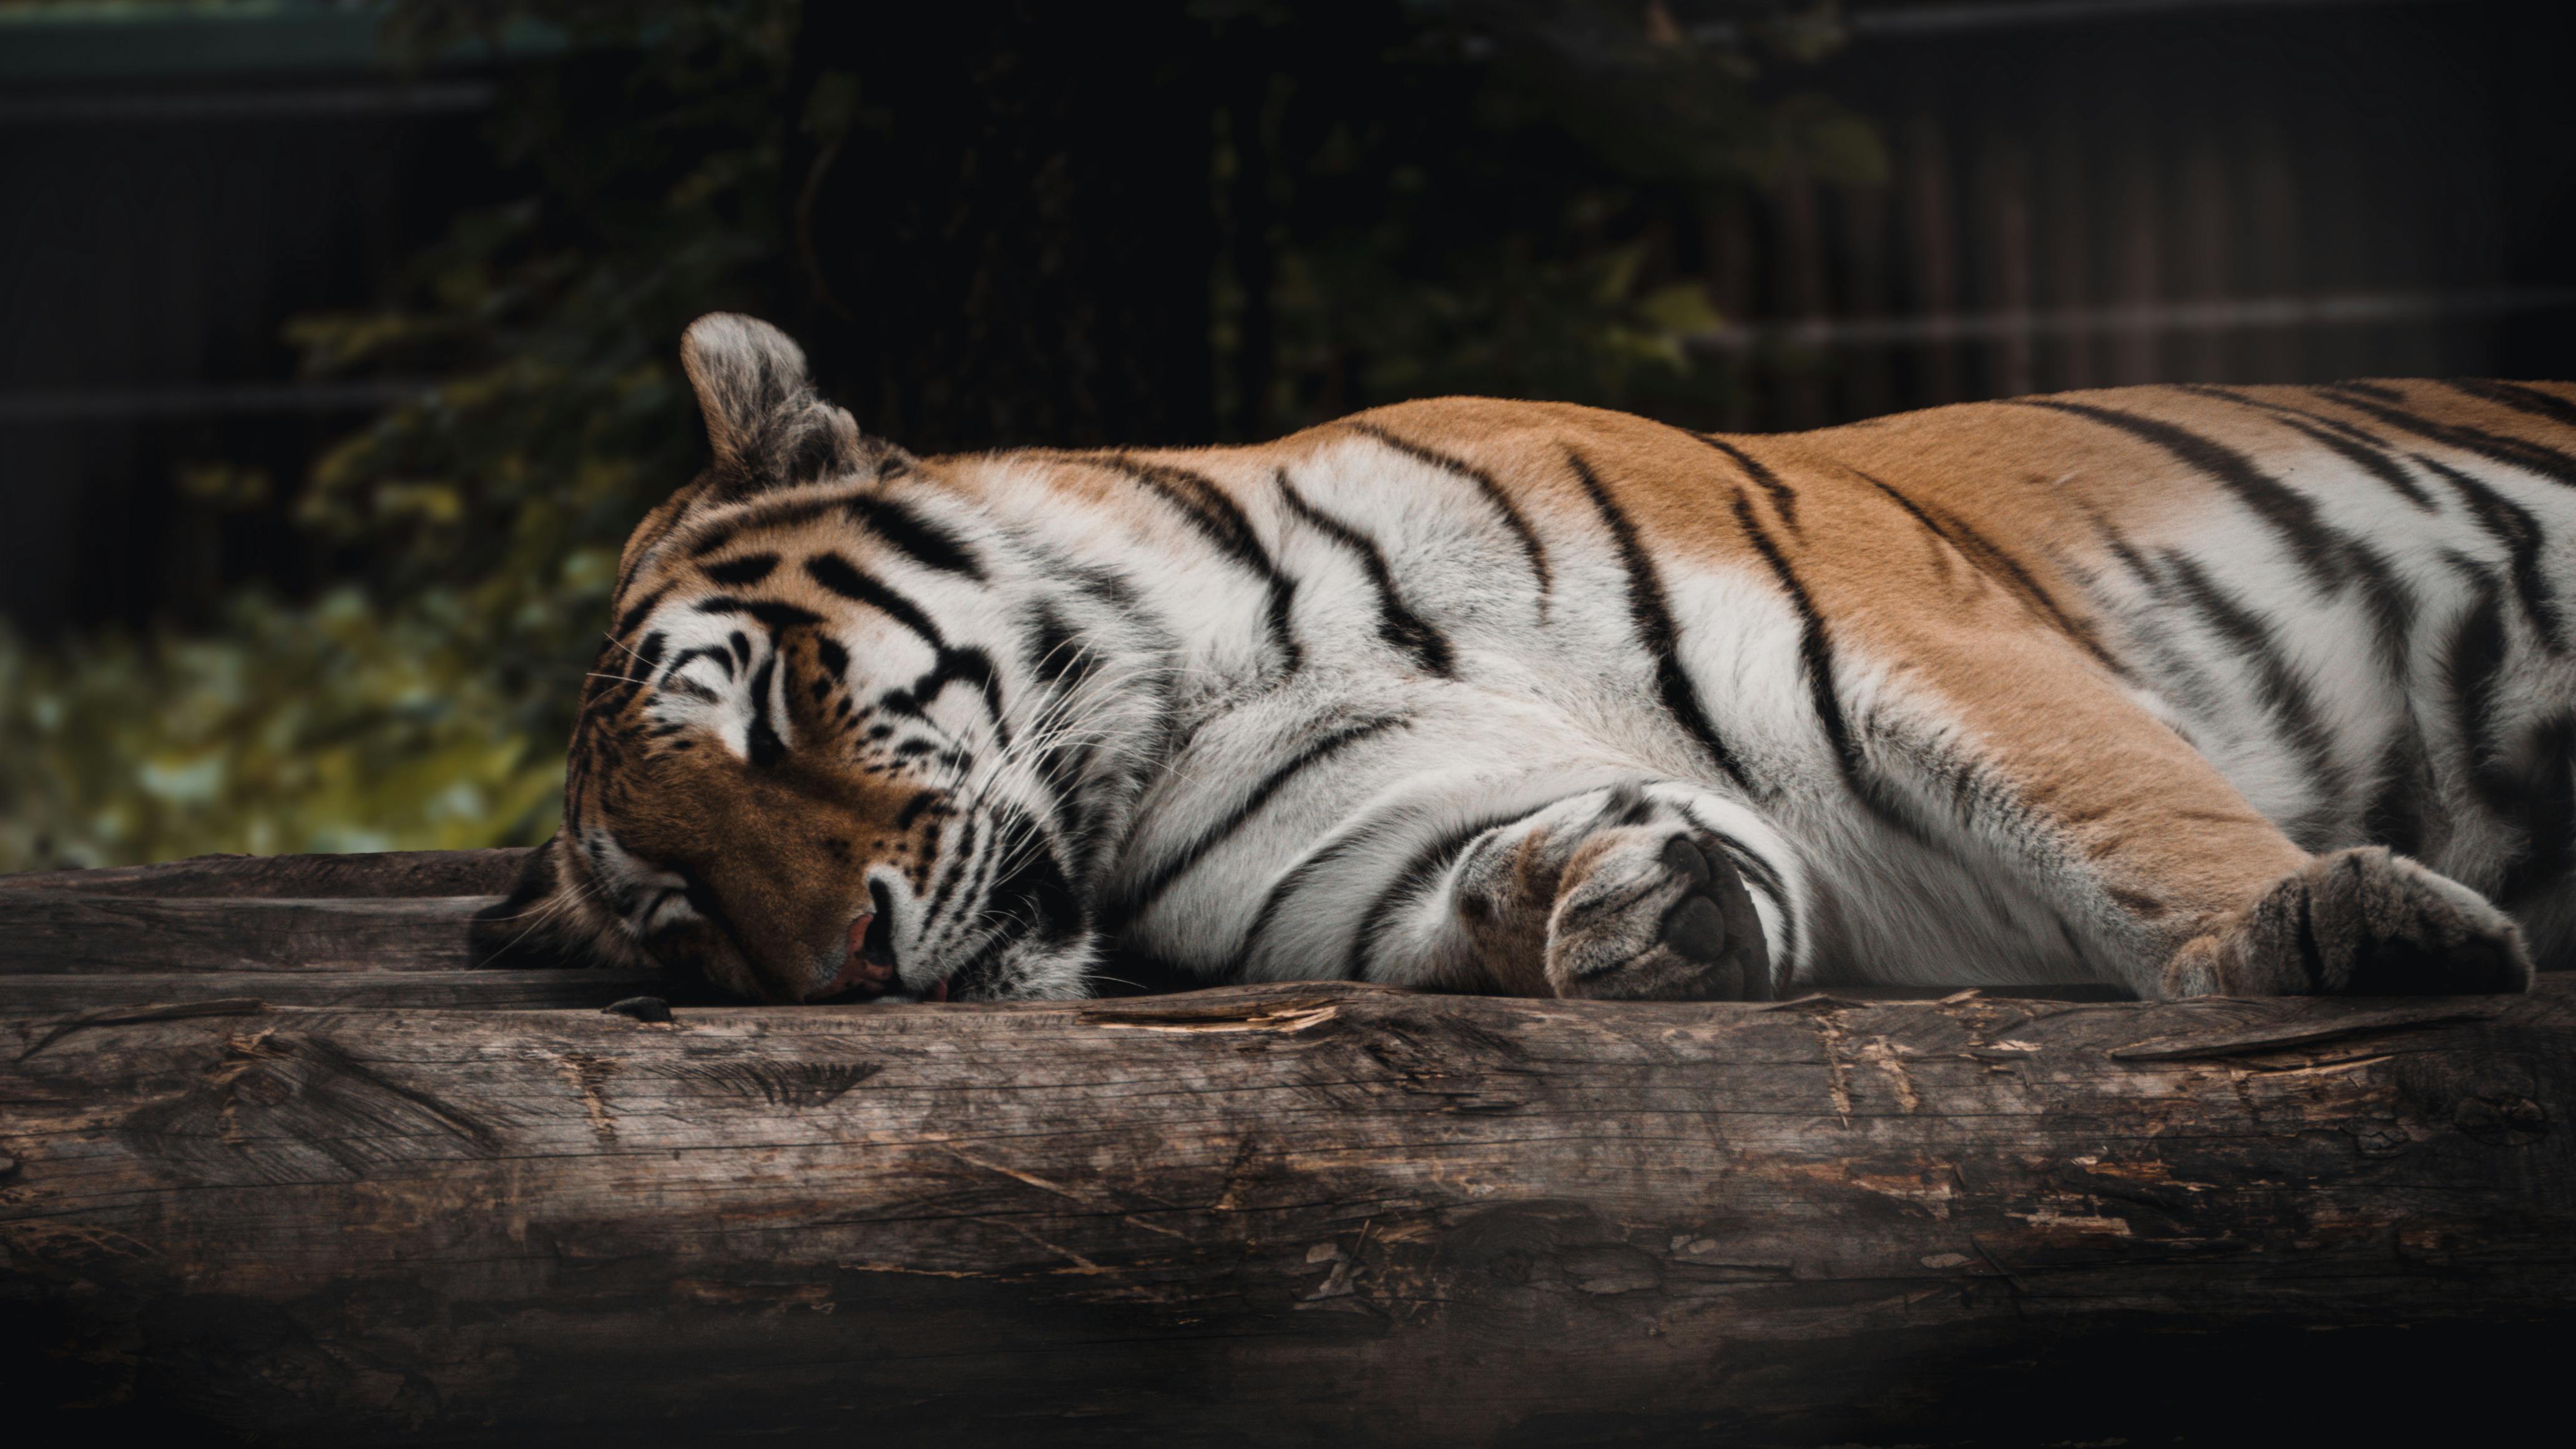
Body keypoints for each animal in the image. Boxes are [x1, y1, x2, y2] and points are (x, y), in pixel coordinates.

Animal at [471, 311, 2571, 1006]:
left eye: (764, 707)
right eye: (677, 912)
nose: (845, 957)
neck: (1191, 696)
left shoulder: (1924, 643)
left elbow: (2132, 822)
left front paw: (2323, 936)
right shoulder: (1351, 849)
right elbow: (1467, 897)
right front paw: (1610, 894)